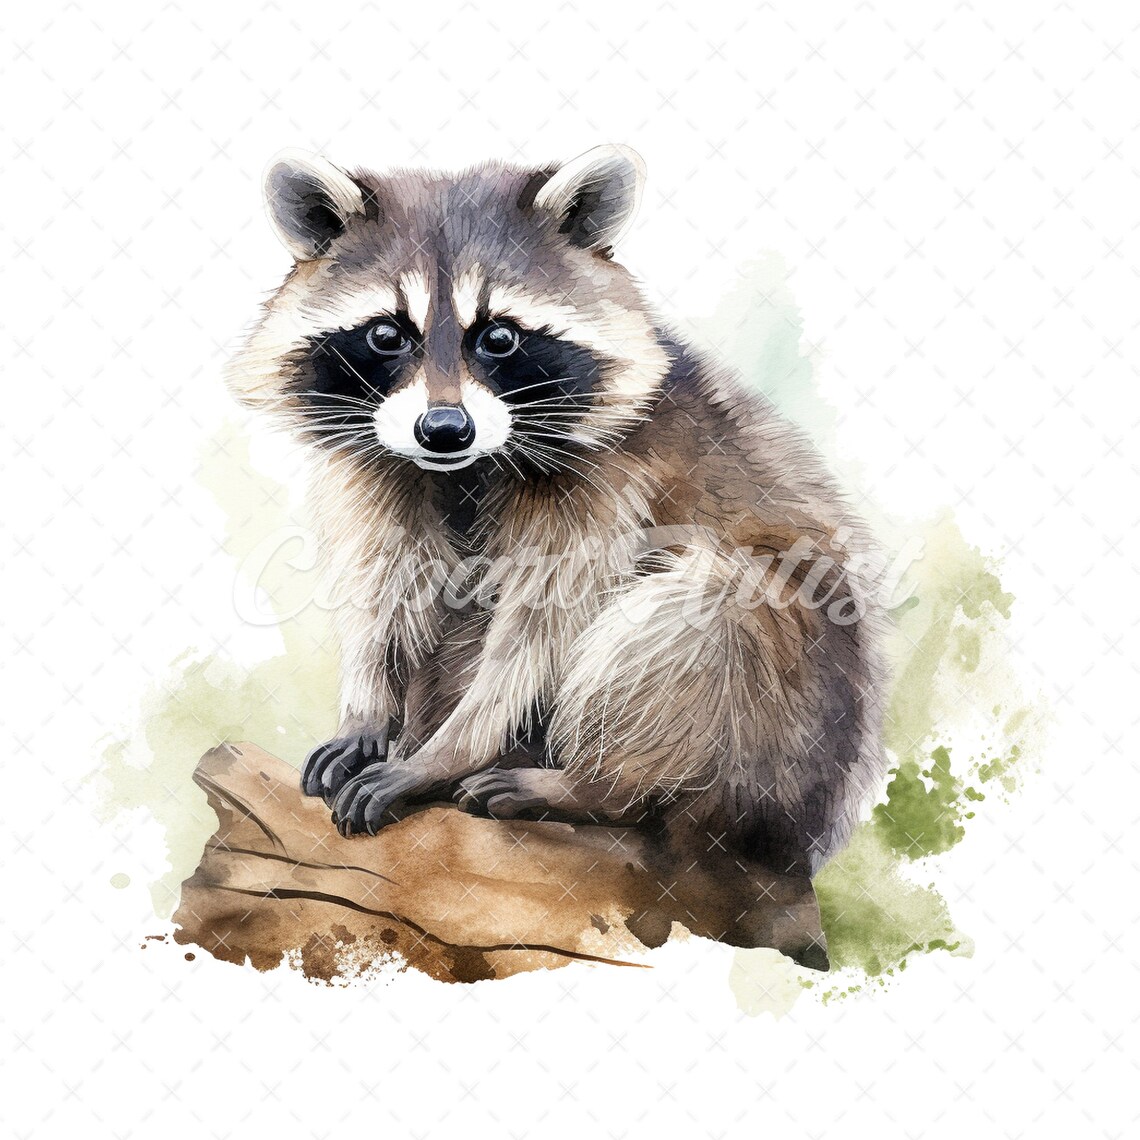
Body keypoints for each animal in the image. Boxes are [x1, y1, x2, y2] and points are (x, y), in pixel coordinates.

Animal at [227, 144, 888, 879]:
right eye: (386, 335)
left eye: (500, 338)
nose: (444, 429)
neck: (464, 468)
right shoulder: (382, 467)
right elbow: (388, 590)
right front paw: (368, 706)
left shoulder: (609, 479)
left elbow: (538, 629)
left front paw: (445, 753)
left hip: (781, 715)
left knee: (699, 613)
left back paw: (599, 785)